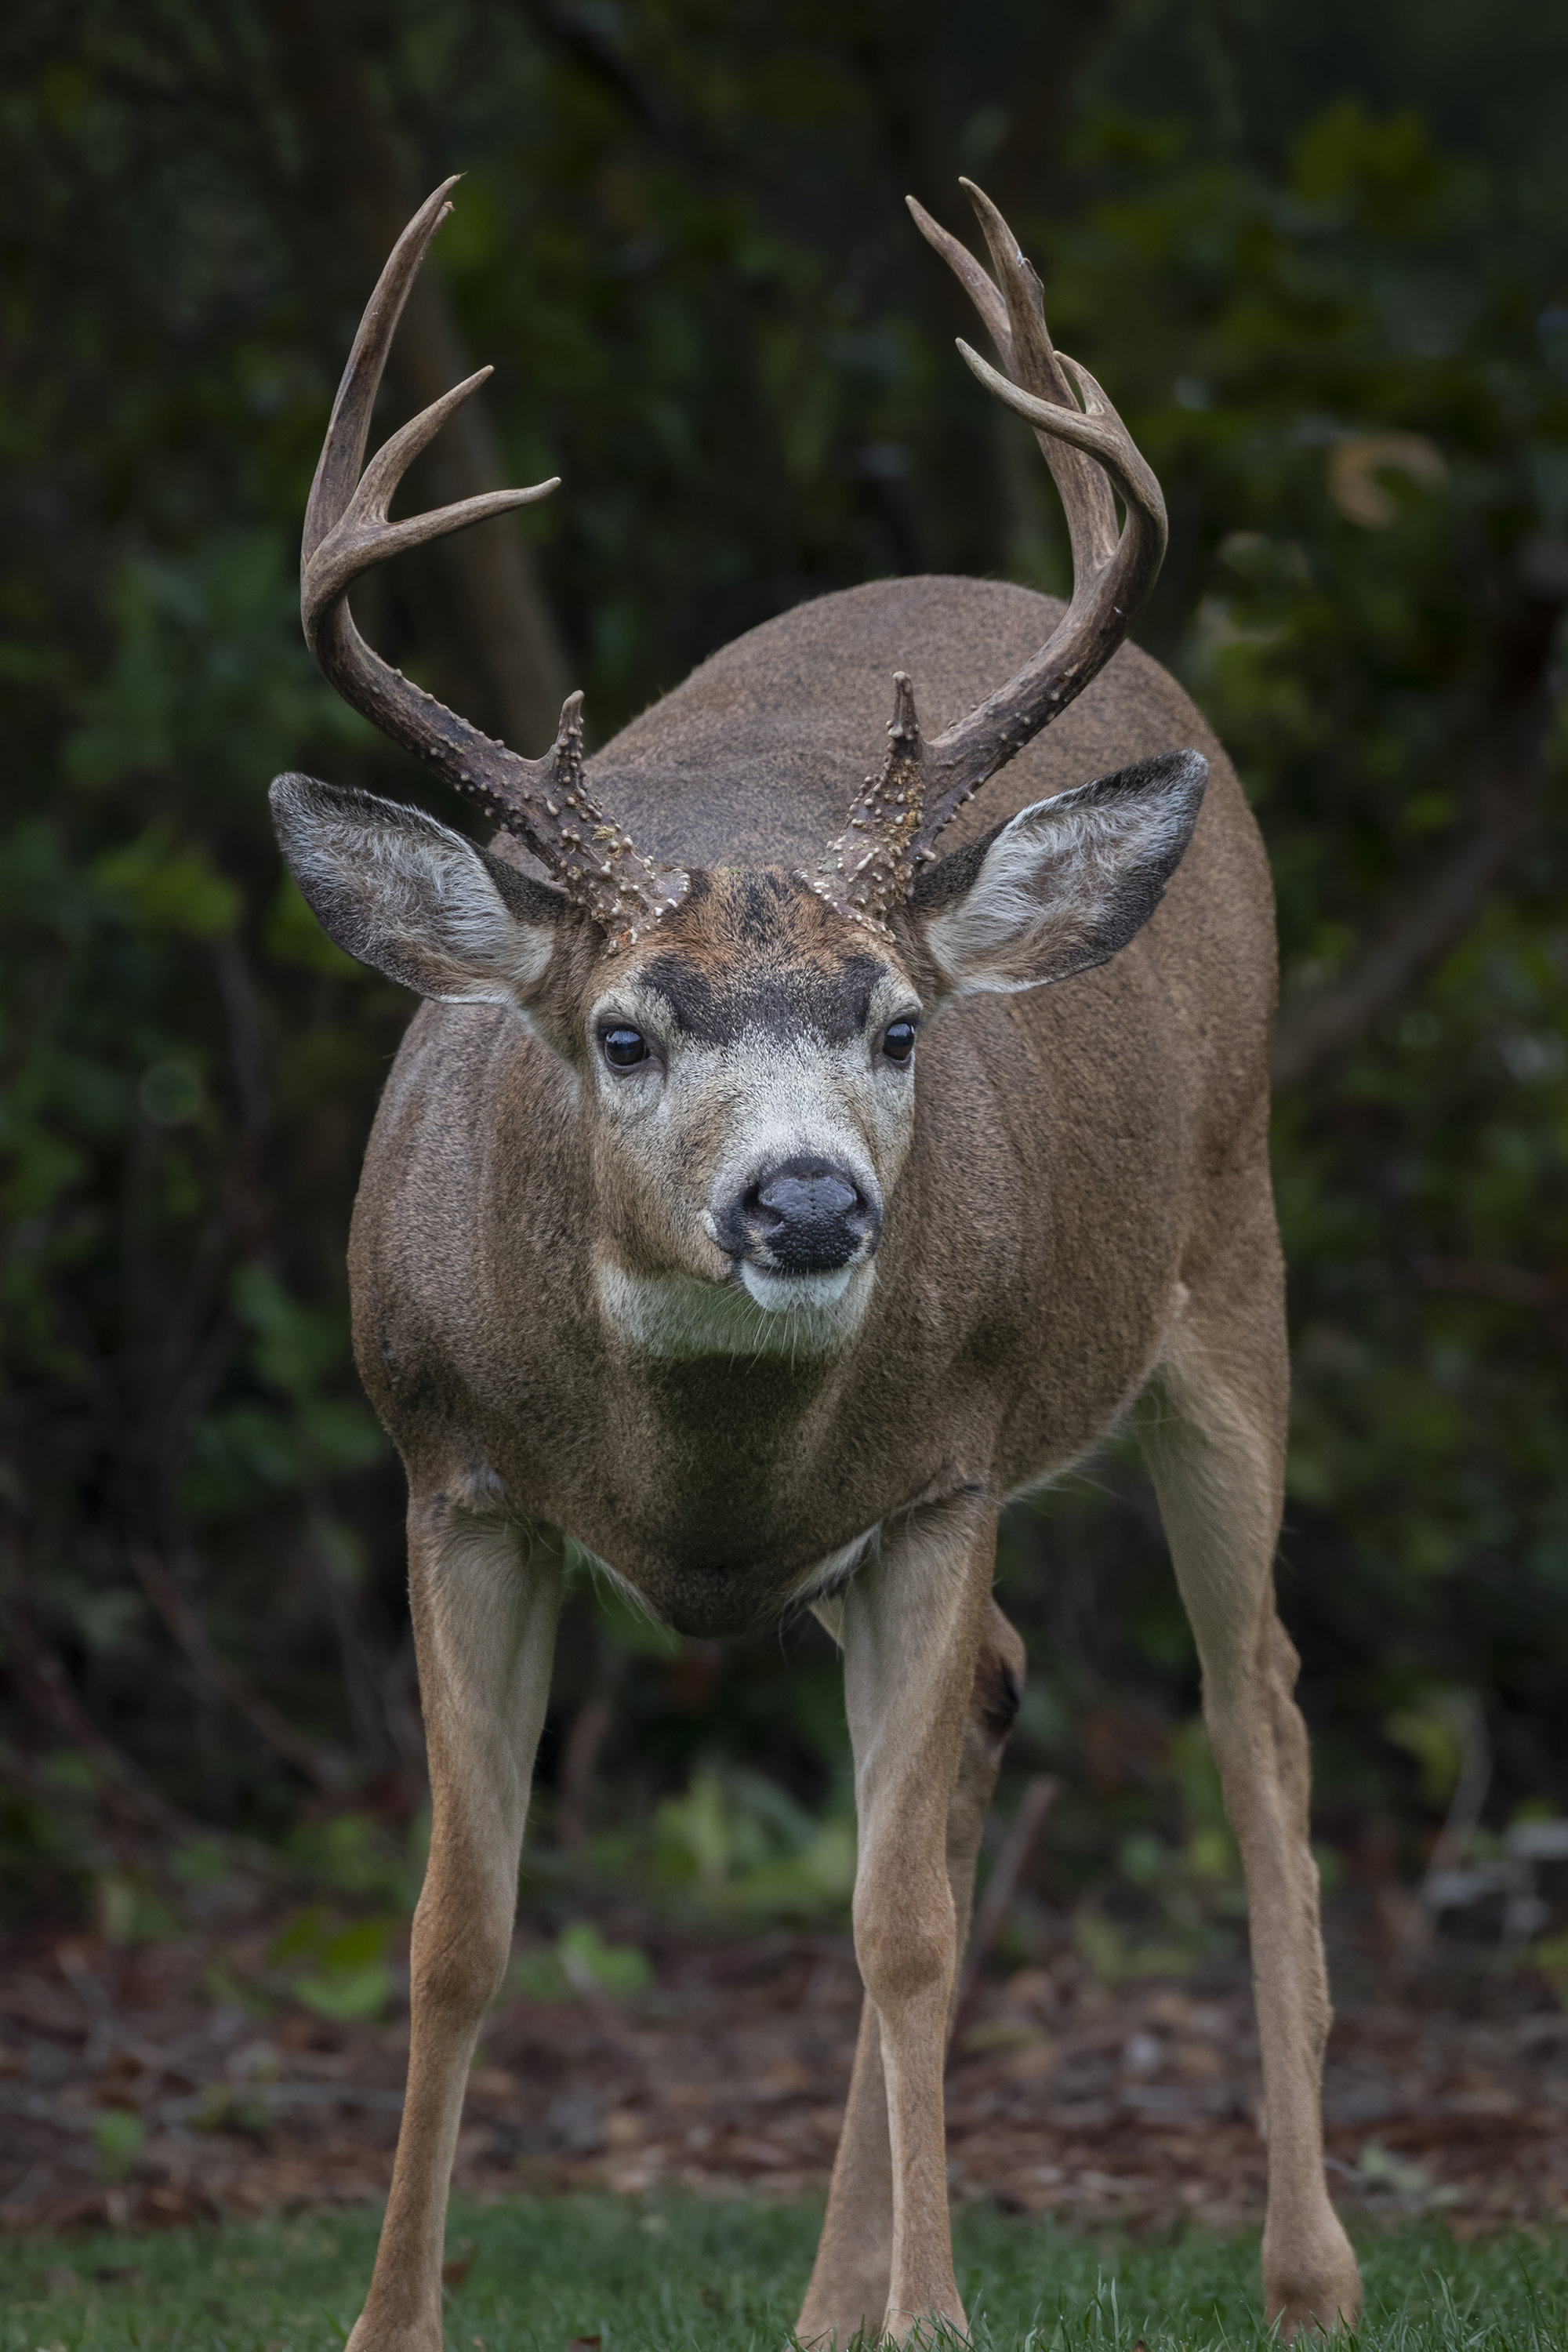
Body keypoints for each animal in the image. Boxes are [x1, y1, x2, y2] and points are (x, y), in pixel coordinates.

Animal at [270, 173, 1362, 2346]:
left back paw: (1306, 2269)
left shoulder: (944, 1468)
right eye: (622, 1031)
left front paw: (941, 2317)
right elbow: (455, 1923)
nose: (805, 1206)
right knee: (1005, 1711)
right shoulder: (447, 1473)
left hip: (1226, 1266)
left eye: (897, 1023)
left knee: (1256, 1718)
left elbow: (904, 1925)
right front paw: (386, 2318)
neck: (688, 1472)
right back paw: (821, 2297)